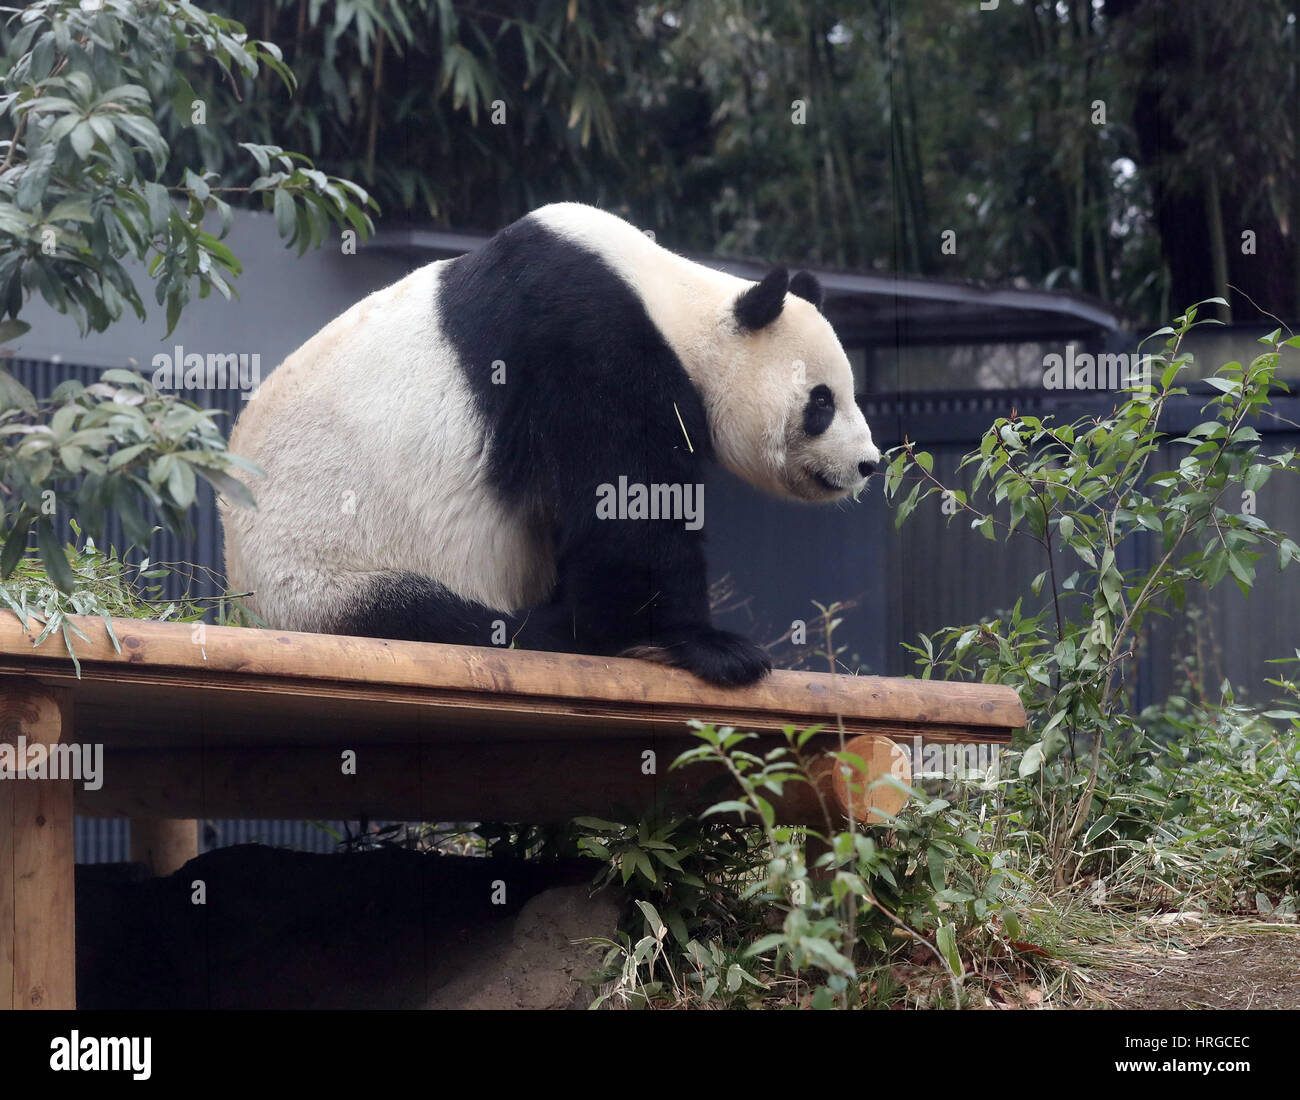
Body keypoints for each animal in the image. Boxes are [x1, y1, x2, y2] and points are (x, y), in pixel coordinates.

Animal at [220, 203, 879, 687]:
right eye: (822, 402)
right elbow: (627, 508)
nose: (868, 464)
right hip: (325, 577)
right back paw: (554, 630)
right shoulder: (582, 340)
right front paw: (714, 648)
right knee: (427, 617)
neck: (676, 304)